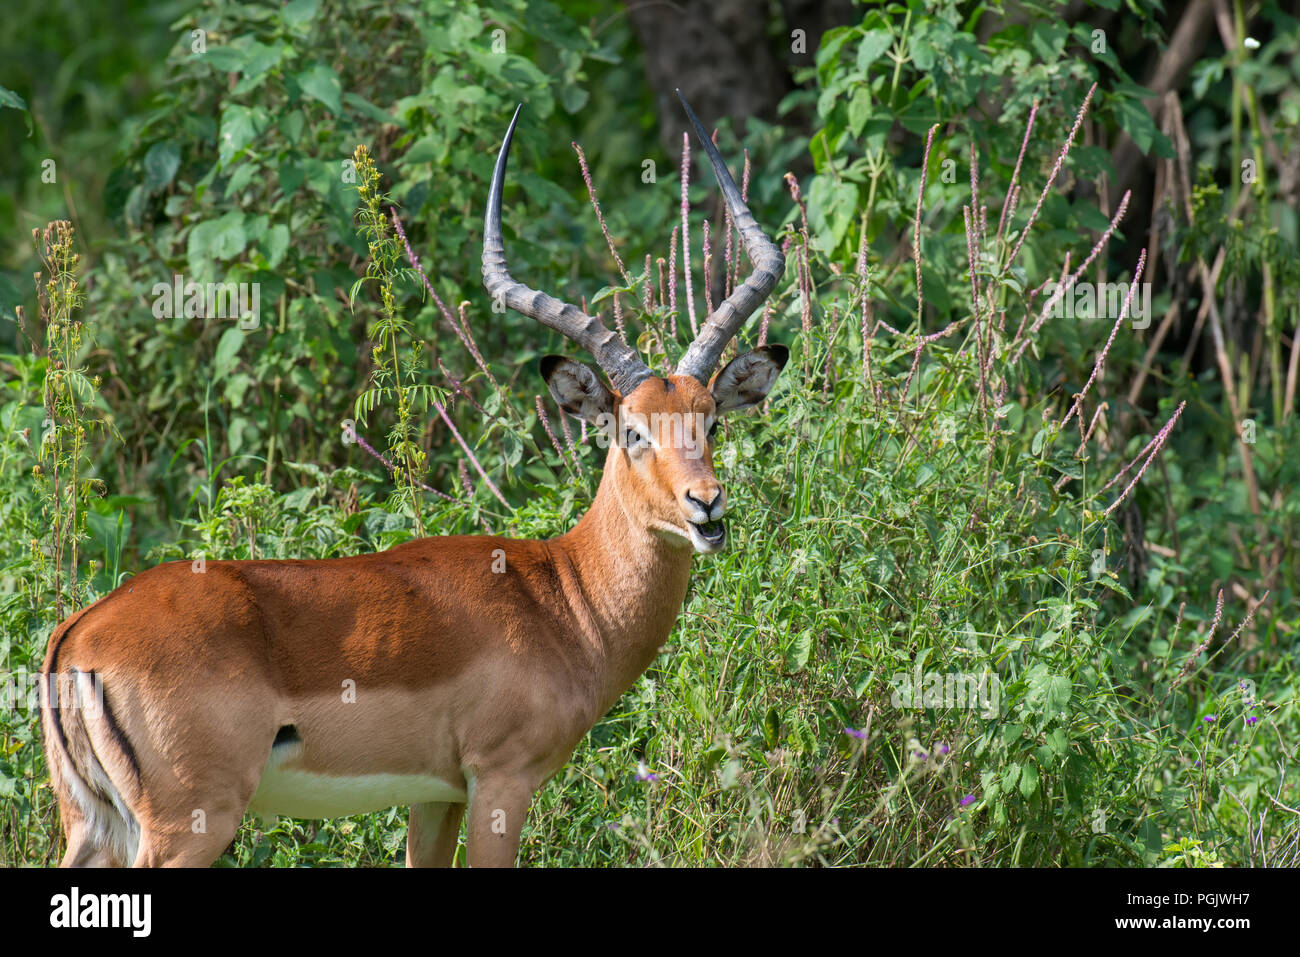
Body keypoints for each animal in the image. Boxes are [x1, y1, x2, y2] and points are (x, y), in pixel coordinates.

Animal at [39, 91, 786, 867]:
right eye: (632, 430)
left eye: (711, 422)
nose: (707, 506)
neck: (564, 599)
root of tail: (79, 638)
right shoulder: (500, 780)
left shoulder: (436, 795)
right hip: (189, 823)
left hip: (94, 823)